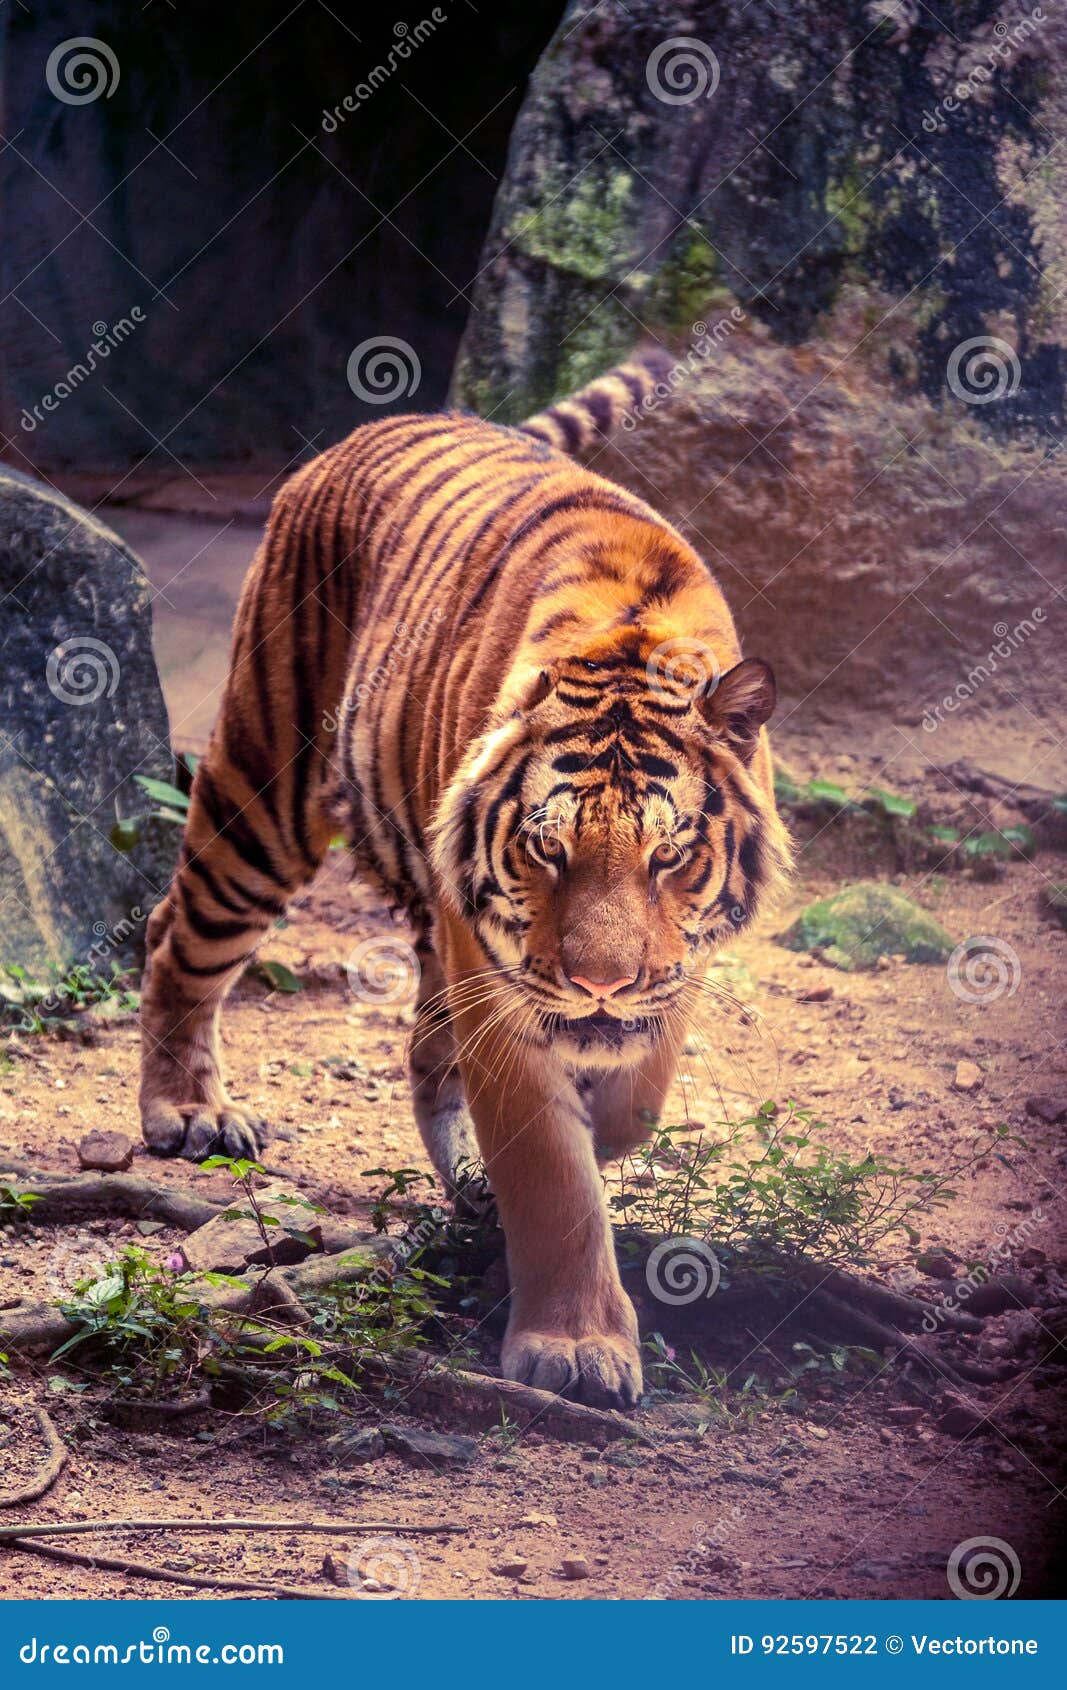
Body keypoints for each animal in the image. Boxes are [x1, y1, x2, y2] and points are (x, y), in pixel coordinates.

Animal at [138, 349, 791, 1408]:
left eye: (670, 854)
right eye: (546, 848)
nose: (597, 984)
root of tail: (402, 421)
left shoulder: (669, 965)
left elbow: (636, 1096)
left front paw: (600, 1118)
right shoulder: (499, 976)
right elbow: (551, 1171)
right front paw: (574, 1347)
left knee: (422, 1046)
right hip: (263, 791)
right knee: (178, 933)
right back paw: (187, 1112)